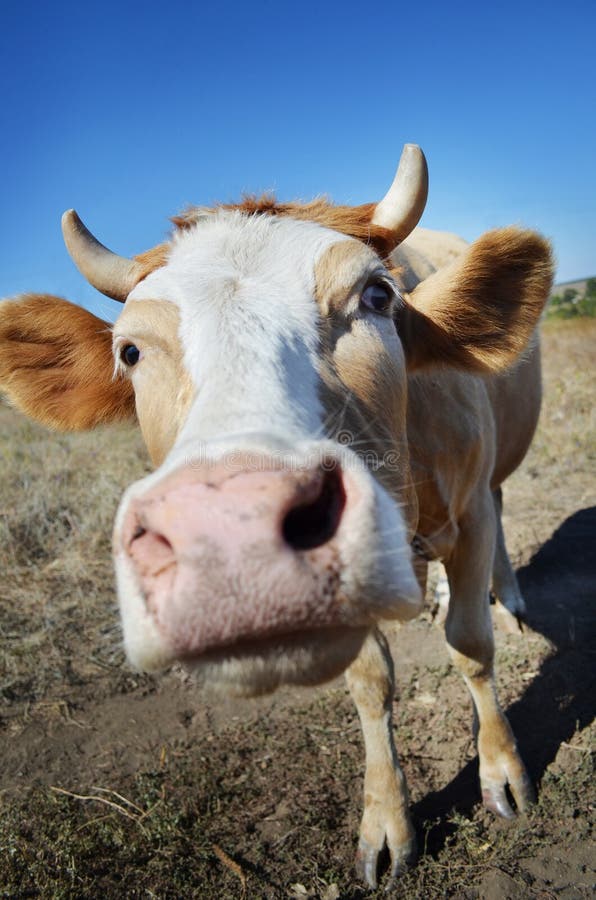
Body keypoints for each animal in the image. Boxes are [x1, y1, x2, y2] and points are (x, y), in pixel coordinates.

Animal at [0, 145, 553, 888]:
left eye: (377, 296)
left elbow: (470, 645)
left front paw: (502, 773)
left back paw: (509, 597)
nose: (233, 535)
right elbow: (370, 683)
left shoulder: (466, 515)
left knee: (499, 508)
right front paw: (386, 823)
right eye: (129, 351)